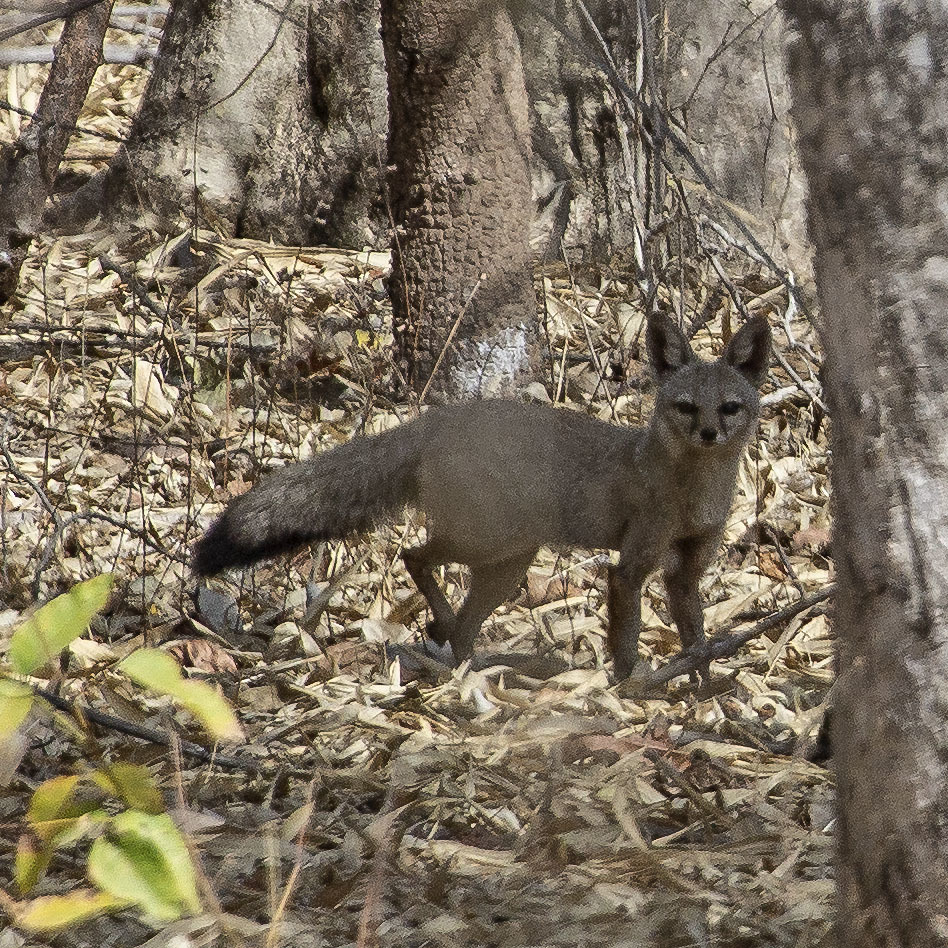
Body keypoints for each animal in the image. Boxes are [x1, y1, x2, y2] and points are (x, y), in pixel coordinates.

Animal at [194, 313, 771, 679]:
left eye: (730, 408)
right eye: (686, 407)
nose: (709, 435)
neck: (692, 495)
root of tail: (440, 420)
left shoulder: (684, 571)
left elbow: (698, 644)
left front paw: (702, 691)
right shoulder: (629, 568)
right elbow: (627, 640)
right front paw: (632, 689)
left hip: (508, 562)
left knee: (461, 621)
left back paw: (465, 660)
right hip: (489, 544)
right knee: (415, 556)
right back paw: (450, 638)